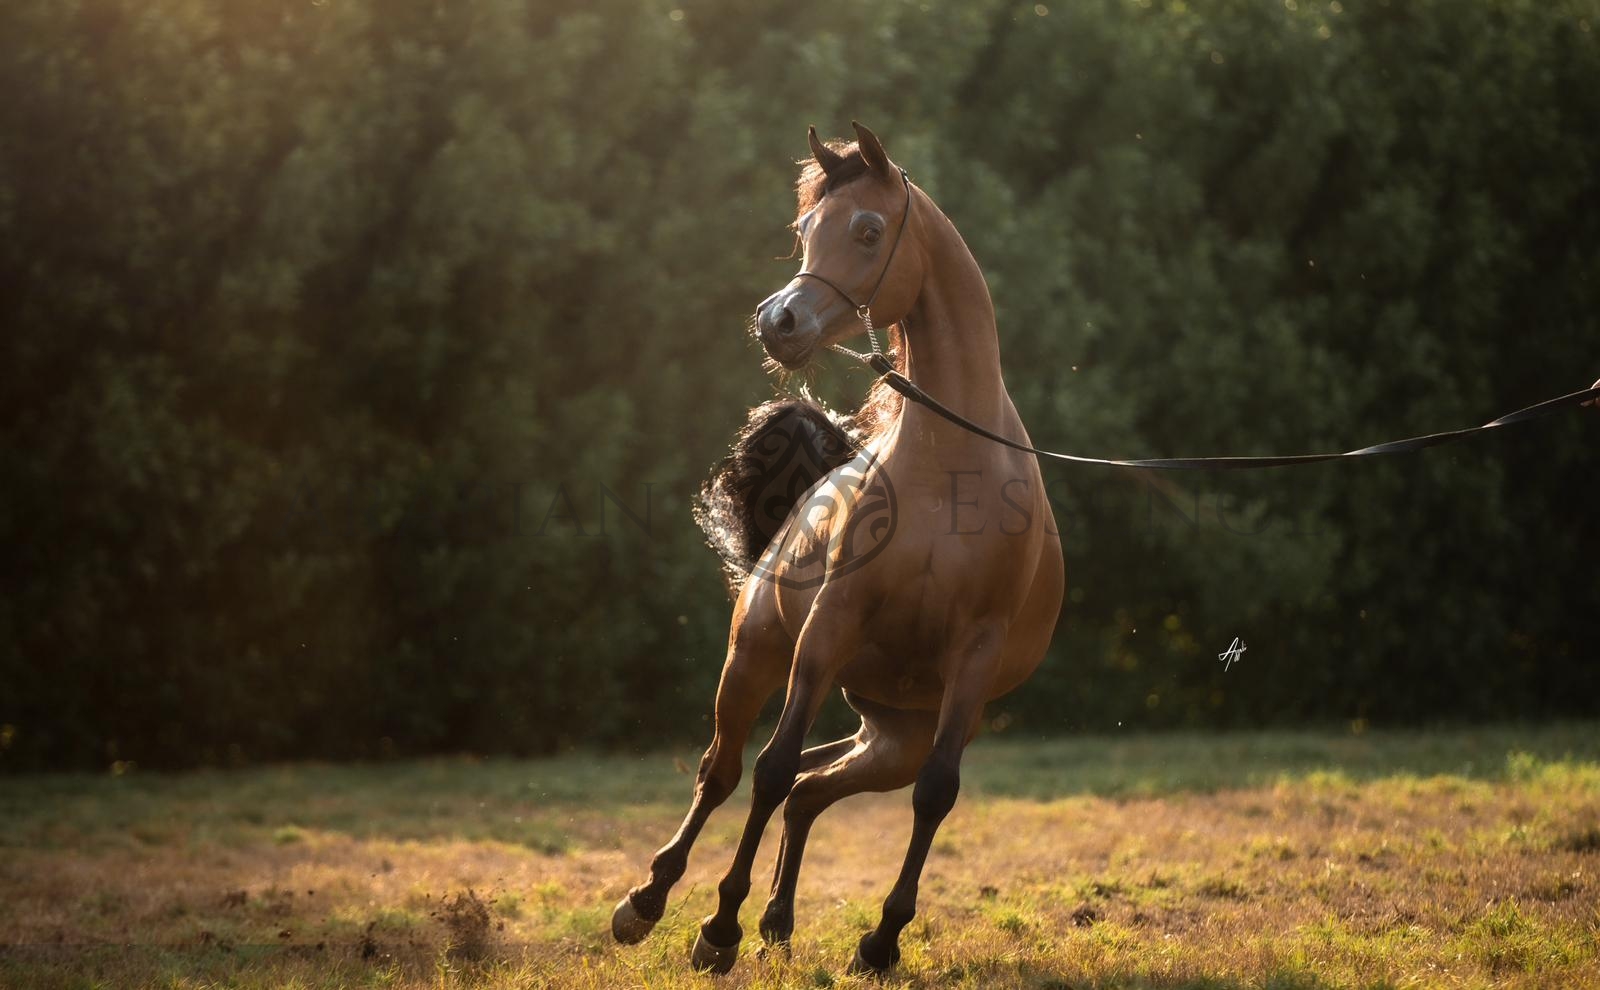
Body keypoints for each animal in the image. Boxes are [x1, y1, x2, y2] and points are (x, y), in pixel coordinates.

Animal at [610, 121, 1065, 976]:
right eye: (802, 230)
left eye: (867, 230)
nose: (776, 322)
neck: (949, 472)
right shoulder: (829, 626)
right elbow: (769, 768)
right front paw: (715, 928)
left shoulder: (973, 657)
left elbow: (936, 793)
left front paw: (881, 942)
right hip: (756, 660)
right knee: (726, 772)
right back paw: (650, 903)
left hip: (893, 733)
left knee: (815, 789)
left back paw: (779, 921)